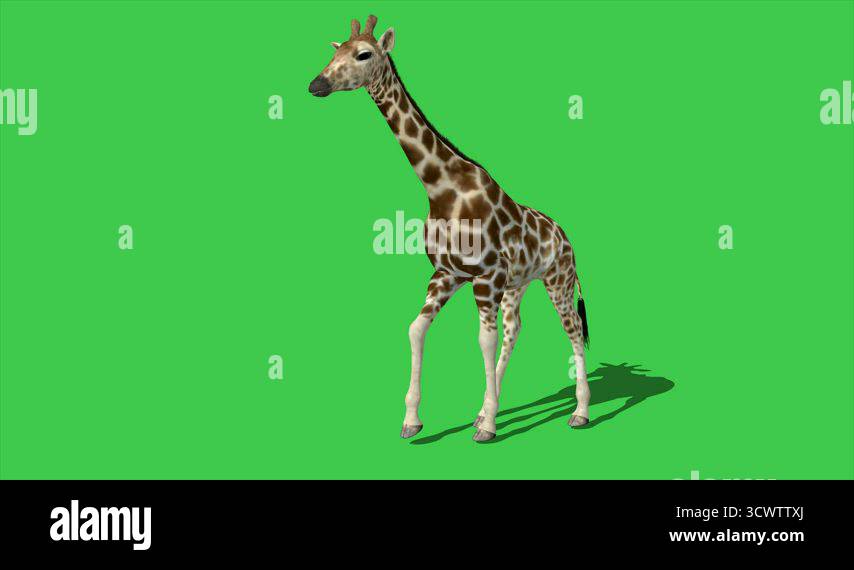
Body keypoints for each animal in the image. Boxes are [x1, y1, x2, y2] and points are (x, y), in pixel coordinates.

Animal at [309, 15, 591, 442]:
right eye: (336, 49)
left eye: (364, 54)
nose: (316, 85)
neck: (439, 187)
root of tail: (564, 234)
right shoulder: (447, 273)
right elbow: (416, 329)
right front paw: (413, 420)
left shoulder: (485, 276)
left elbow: (484, 340)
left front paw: (488, 428)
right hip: (518, 284)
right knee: (515, 330)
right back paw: (485, 409)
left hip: (558, 279)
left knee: (572, 329)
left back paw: (580, 412)